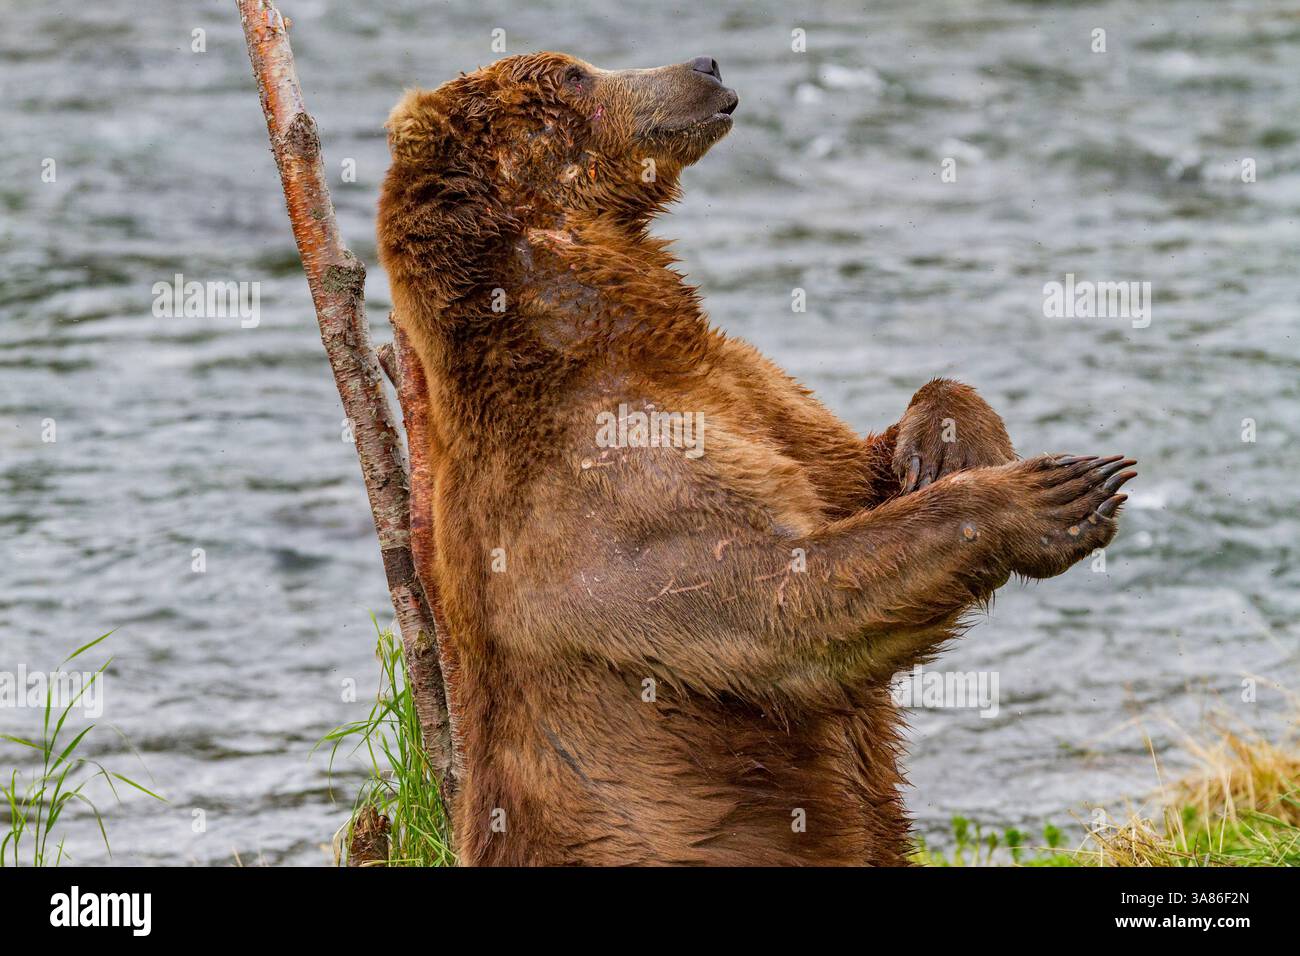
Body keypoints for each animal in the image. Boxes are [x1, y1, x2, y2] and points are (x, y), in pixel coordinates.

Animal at [376, 52, 1136, 865]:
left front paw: (941, 446)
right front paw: (1052, 497)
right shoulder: (607, 491)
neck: (598, 336)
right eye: (577, 75)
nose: (704, 63)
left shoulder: (753, 400)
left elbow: (850, 466)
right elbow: (774, 603)